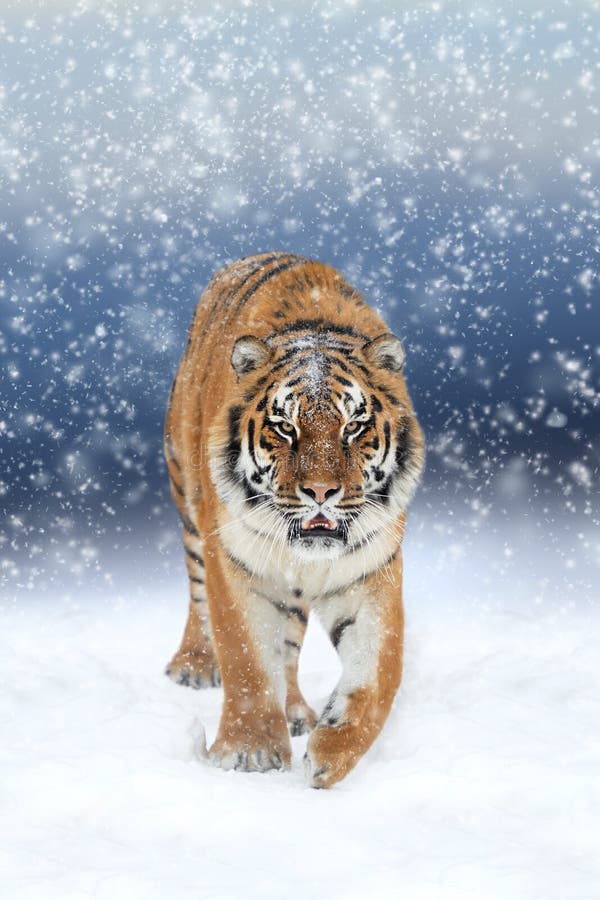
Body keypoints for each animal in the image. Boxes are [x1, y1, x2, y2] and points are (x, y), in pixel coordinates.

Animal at [164, 252, 425, 788]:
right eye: (285, 427)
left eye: (354, 426)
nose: (321, 491)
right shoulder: (235, 564)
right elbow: (246, 659)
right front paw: (248, 753)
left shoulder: (372, 574)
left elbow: (378, 676)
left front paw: (330, 754)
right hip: (189, 504)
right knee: (198, 596)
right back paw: (194, 666)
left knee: (287, 646)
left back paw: (299, 714)